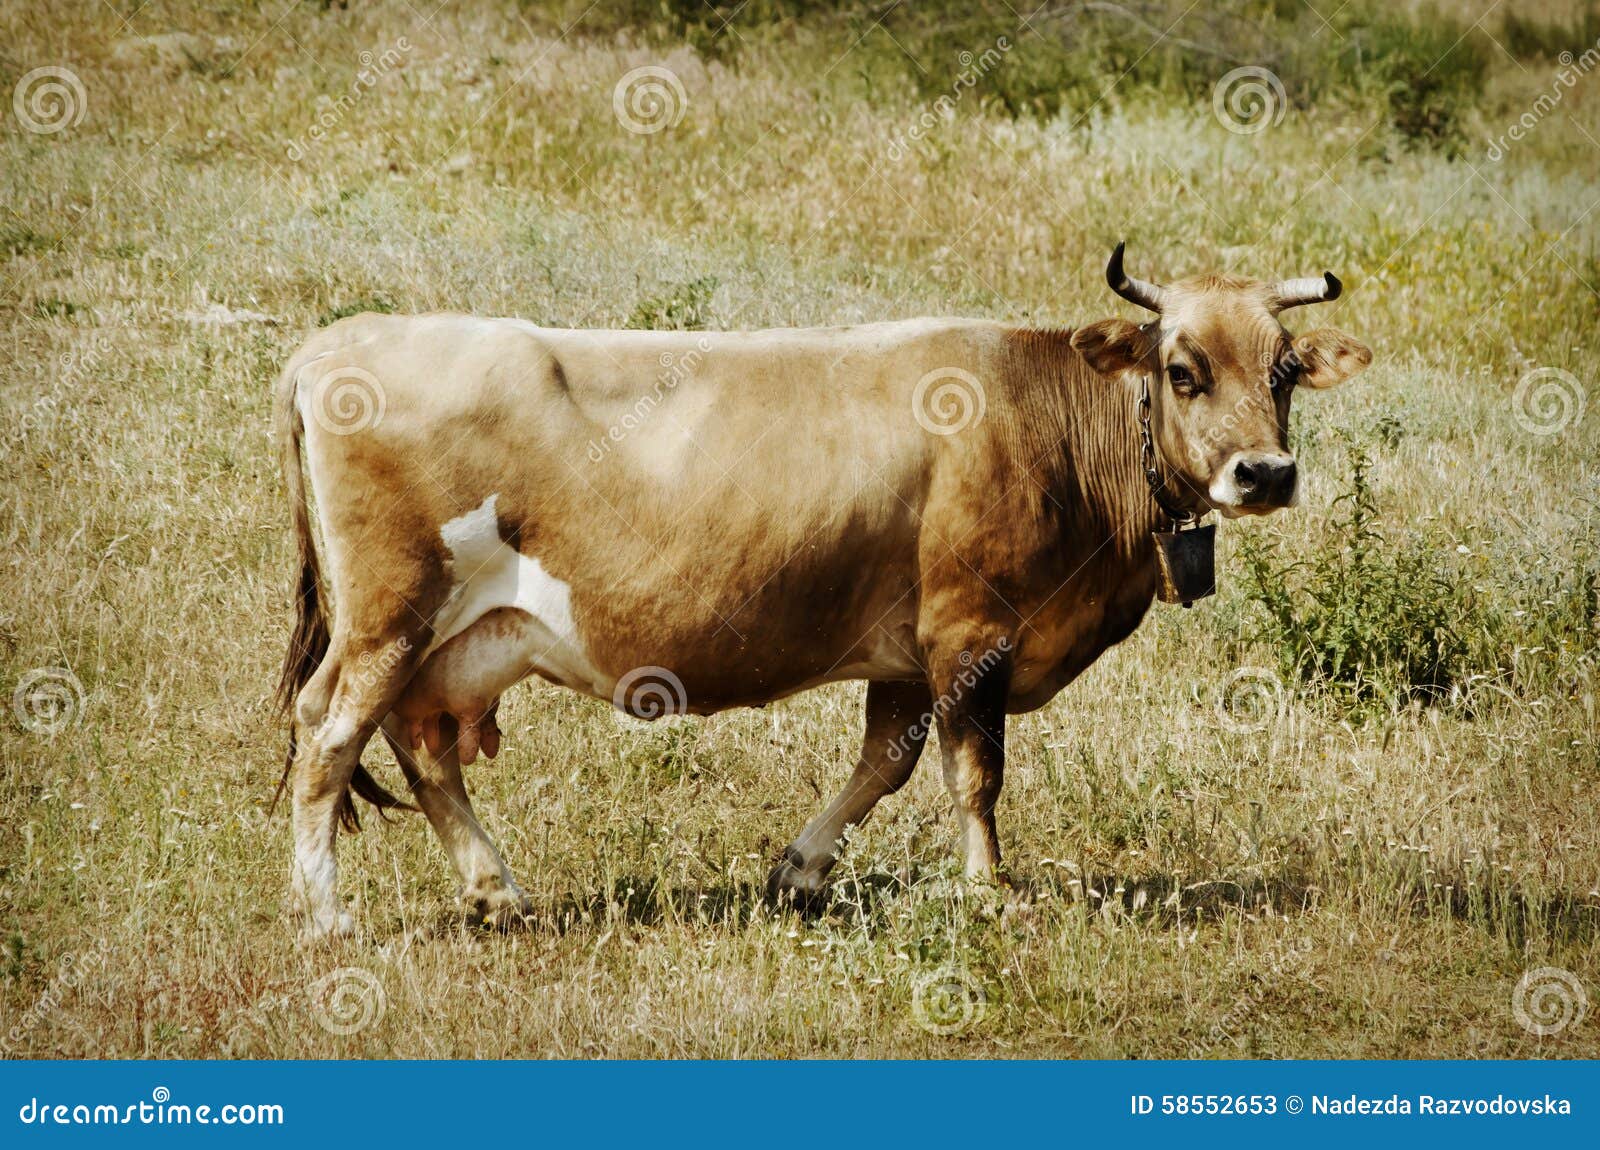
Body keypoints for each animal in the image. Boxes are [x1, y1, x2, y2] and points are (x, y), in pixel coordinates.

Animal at [274, 243, 1371, 938]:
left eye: (1282, 371)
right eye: (1184, 369)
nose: (1265, 474)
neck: (1044, 416)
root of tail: (336, 341)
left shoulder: (906, 650)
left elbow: (885, 762)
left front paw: (799, 870)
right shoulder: (972, 629)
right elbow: (975, 774)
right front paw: (989, 893)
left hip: (452, 639)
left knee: (419, 743)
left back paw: (494, 890)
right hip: (391, 615)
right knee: (329, 734)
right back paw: (326, 916)